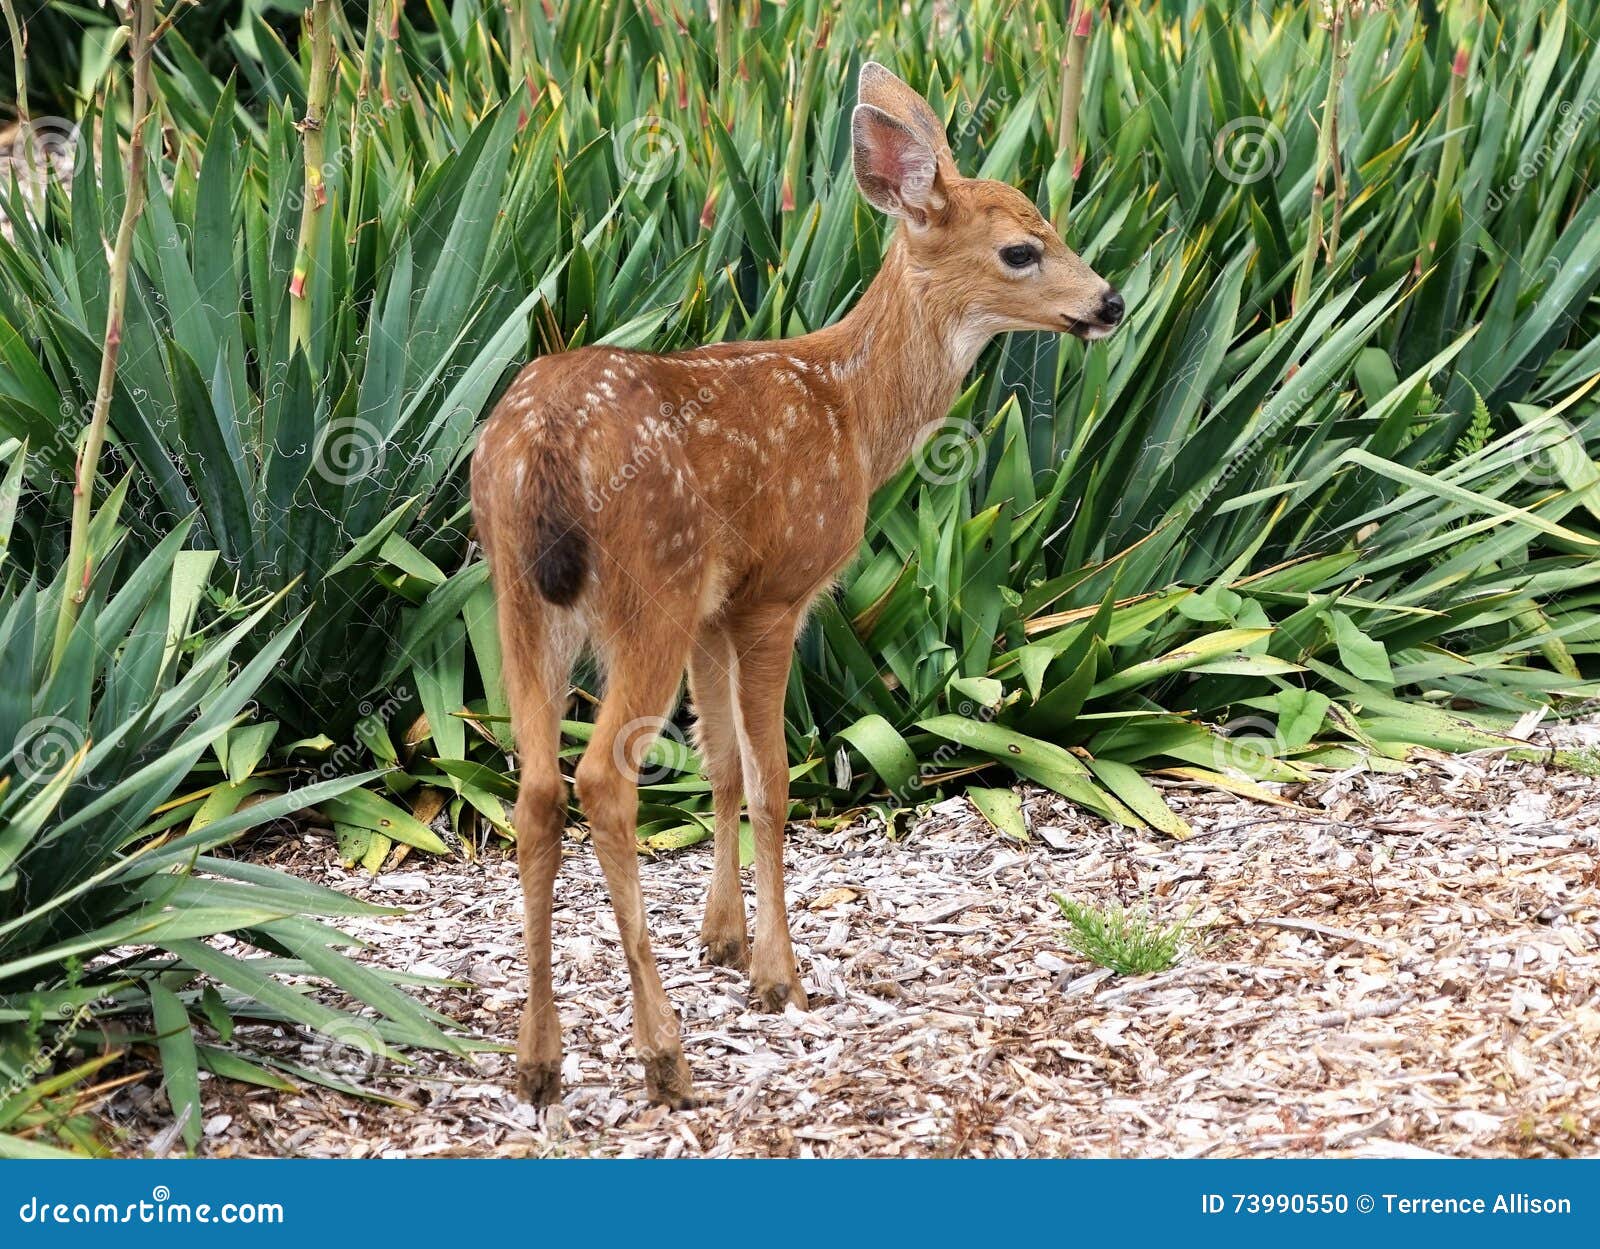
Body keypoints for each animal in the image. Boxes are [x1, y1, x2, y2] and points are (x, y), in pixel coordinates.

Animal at [470, 61, 1124, 1109]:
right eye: (1023, 248)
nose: (1109, 303)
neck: (851, 410)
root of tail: (542, 450)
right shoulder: (777, 593)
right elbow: (775, 779)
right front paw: (780, 976)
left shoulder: (716, 606)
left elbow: (724, 767)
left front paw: (724, 941)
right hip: (645, 586)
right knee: (600, 774)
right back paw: (664, 1055)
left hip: (520, 600)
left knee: (533, 788)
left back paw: (538, 1061)